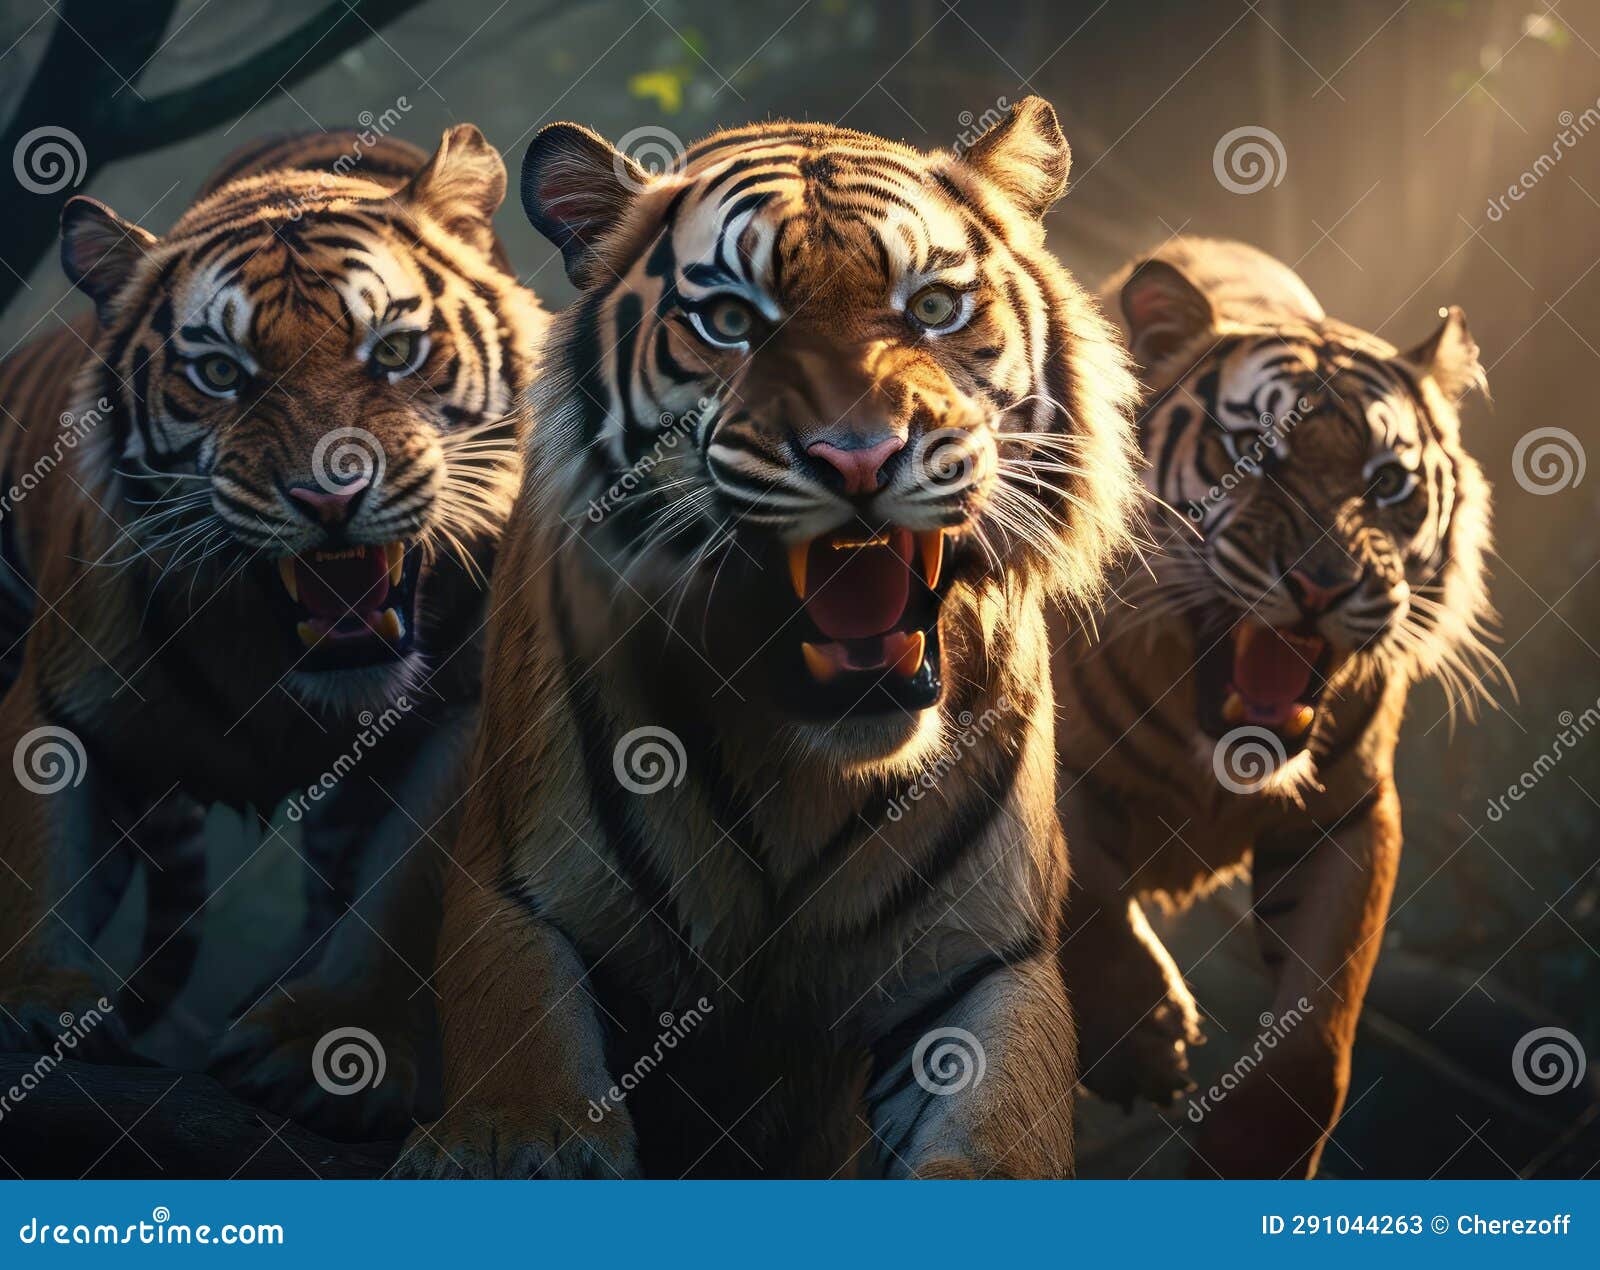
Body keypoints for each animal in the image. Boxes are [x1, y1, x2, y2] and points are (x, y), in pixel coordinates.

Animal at [0, 125, 545, 1138]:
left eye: (395, 350)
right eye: (221, 372)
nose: (330, 496)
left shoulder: (460, 719)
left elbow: (403, 893)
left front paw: (331, 1042)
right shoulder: (58, 703)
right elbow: (34, 857)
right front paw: (37, 1000)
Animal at [391, 96, 1141, 1179]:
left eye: (934, 308)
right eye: (733, 322)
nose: (860, 456)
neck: (806, 762)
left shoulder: (985, 964)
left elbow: (996, 1136)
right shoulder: (515, 895)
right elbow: (522, 1078)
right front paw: (512, 1143)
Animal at [1051, 236, 1499, 1177]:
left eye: (1389, 482)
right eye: (1252, 452)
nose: (1325, 584)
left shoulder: (1346, 819)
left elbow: (1318, 1028)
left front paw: (1250, 1151)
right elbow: (1090, 902)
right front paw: (1141, 1045)